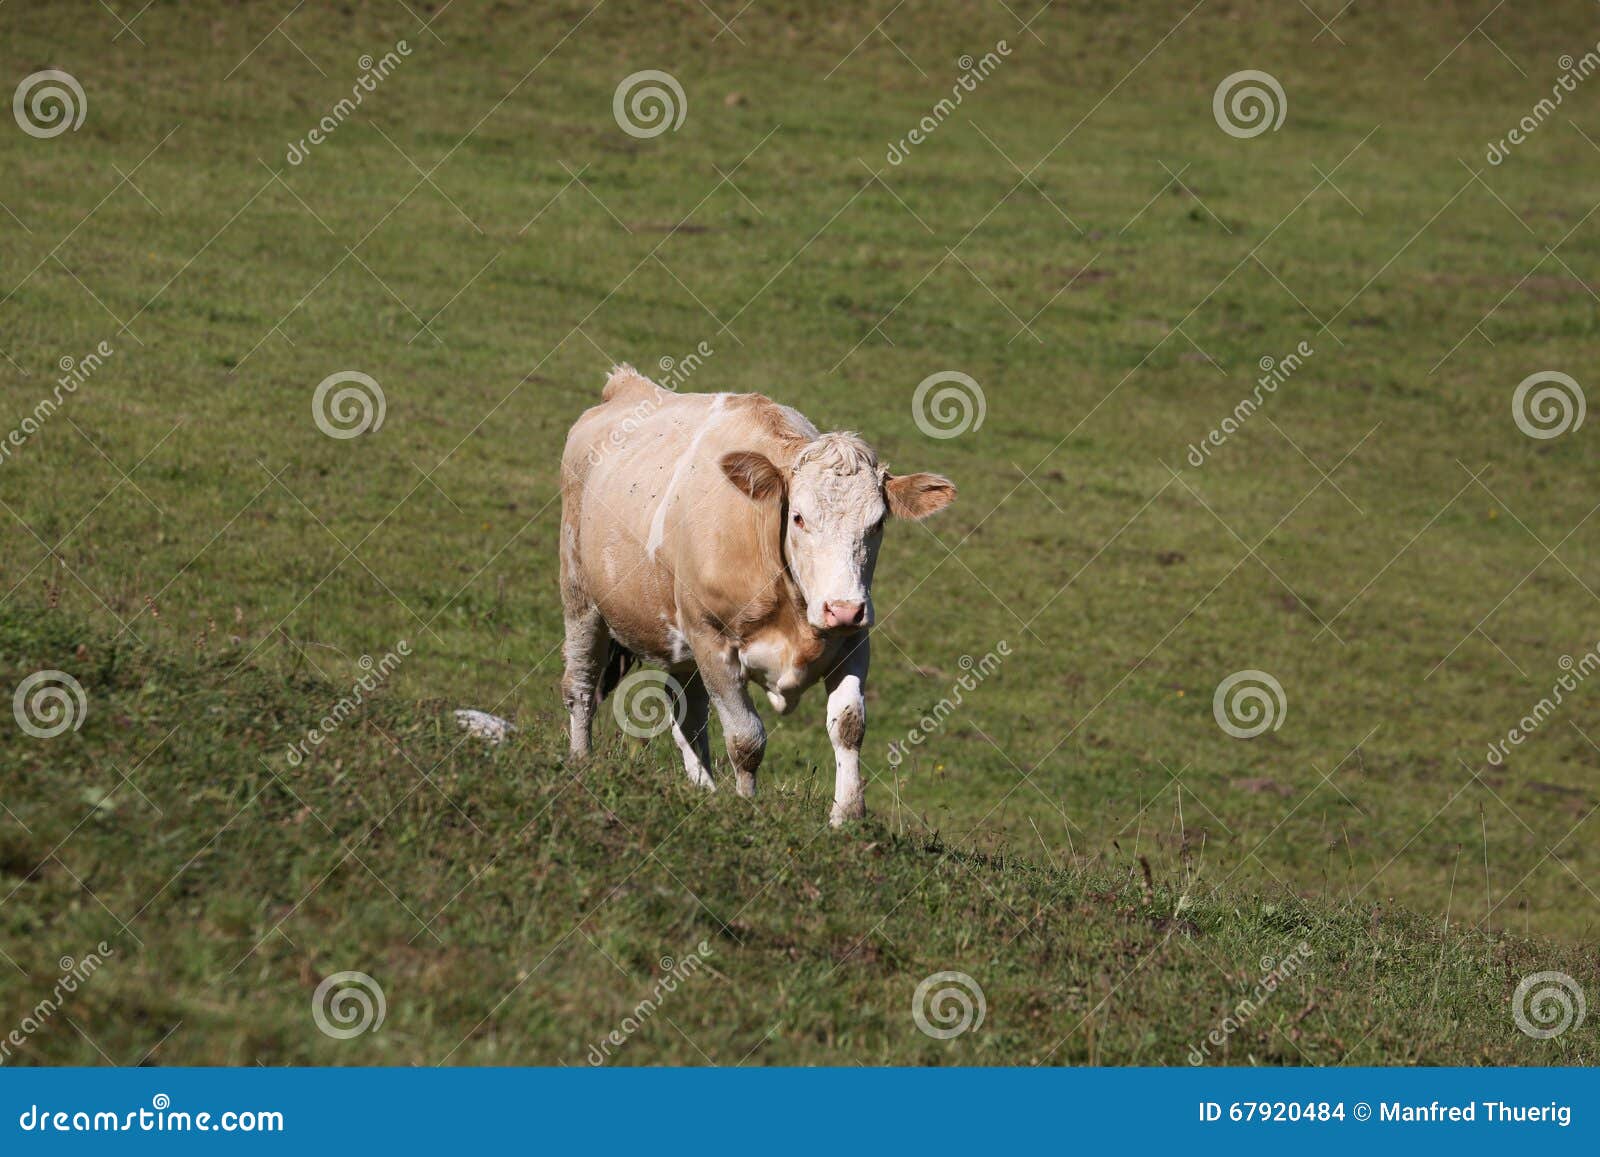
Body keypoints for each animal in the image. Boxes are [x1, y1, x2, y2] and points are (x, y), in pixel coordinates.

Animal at [559, 364, 957, 826]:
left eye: (877, 523)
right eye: (798, 517)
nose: (842, 609)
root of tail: (626, 385)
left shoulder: (856, 640)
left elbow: (849, 725)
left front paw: (846, 815)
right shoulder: (712, 640)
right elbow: (746, 738)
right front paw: (746, 805)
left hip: (678, 641)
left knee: (687, 715)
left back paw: (704, 790)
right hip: (581, 595)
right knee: (581, 683)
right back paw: (580, 760)